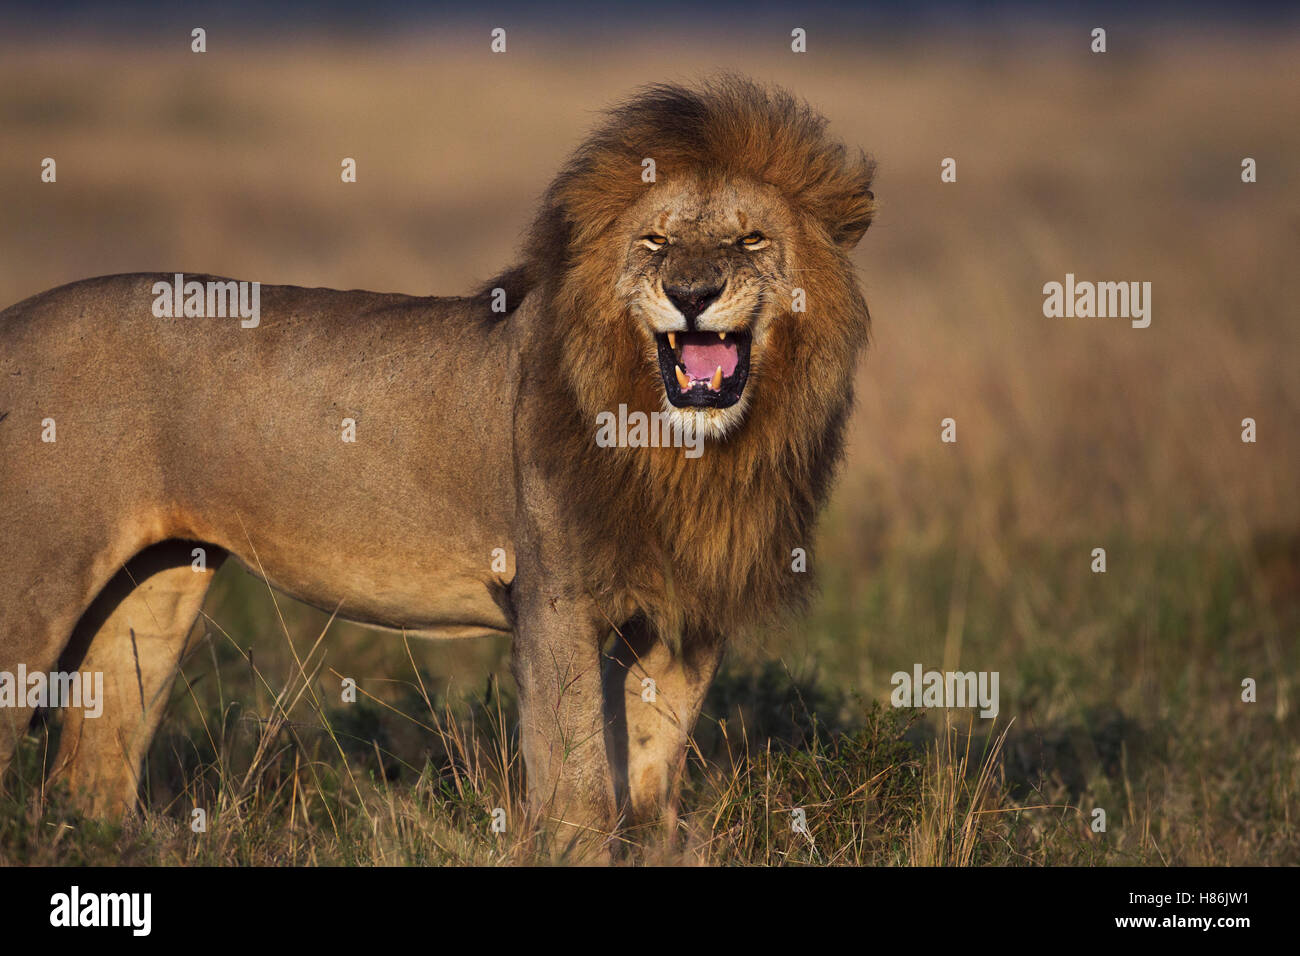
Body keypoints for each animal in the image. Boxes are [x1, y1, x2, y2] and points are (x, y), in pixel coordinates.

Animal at [0, 76, 875, 855]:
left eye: (750, 239)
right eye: (654, 241)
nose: (692, 294)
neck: (686, 455)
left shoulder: (682, 617)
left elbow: (652, 790)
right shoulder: (553, 599)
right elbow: (581, 790)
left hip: (151, 592)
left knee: (90, 784)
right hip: (33, 593)